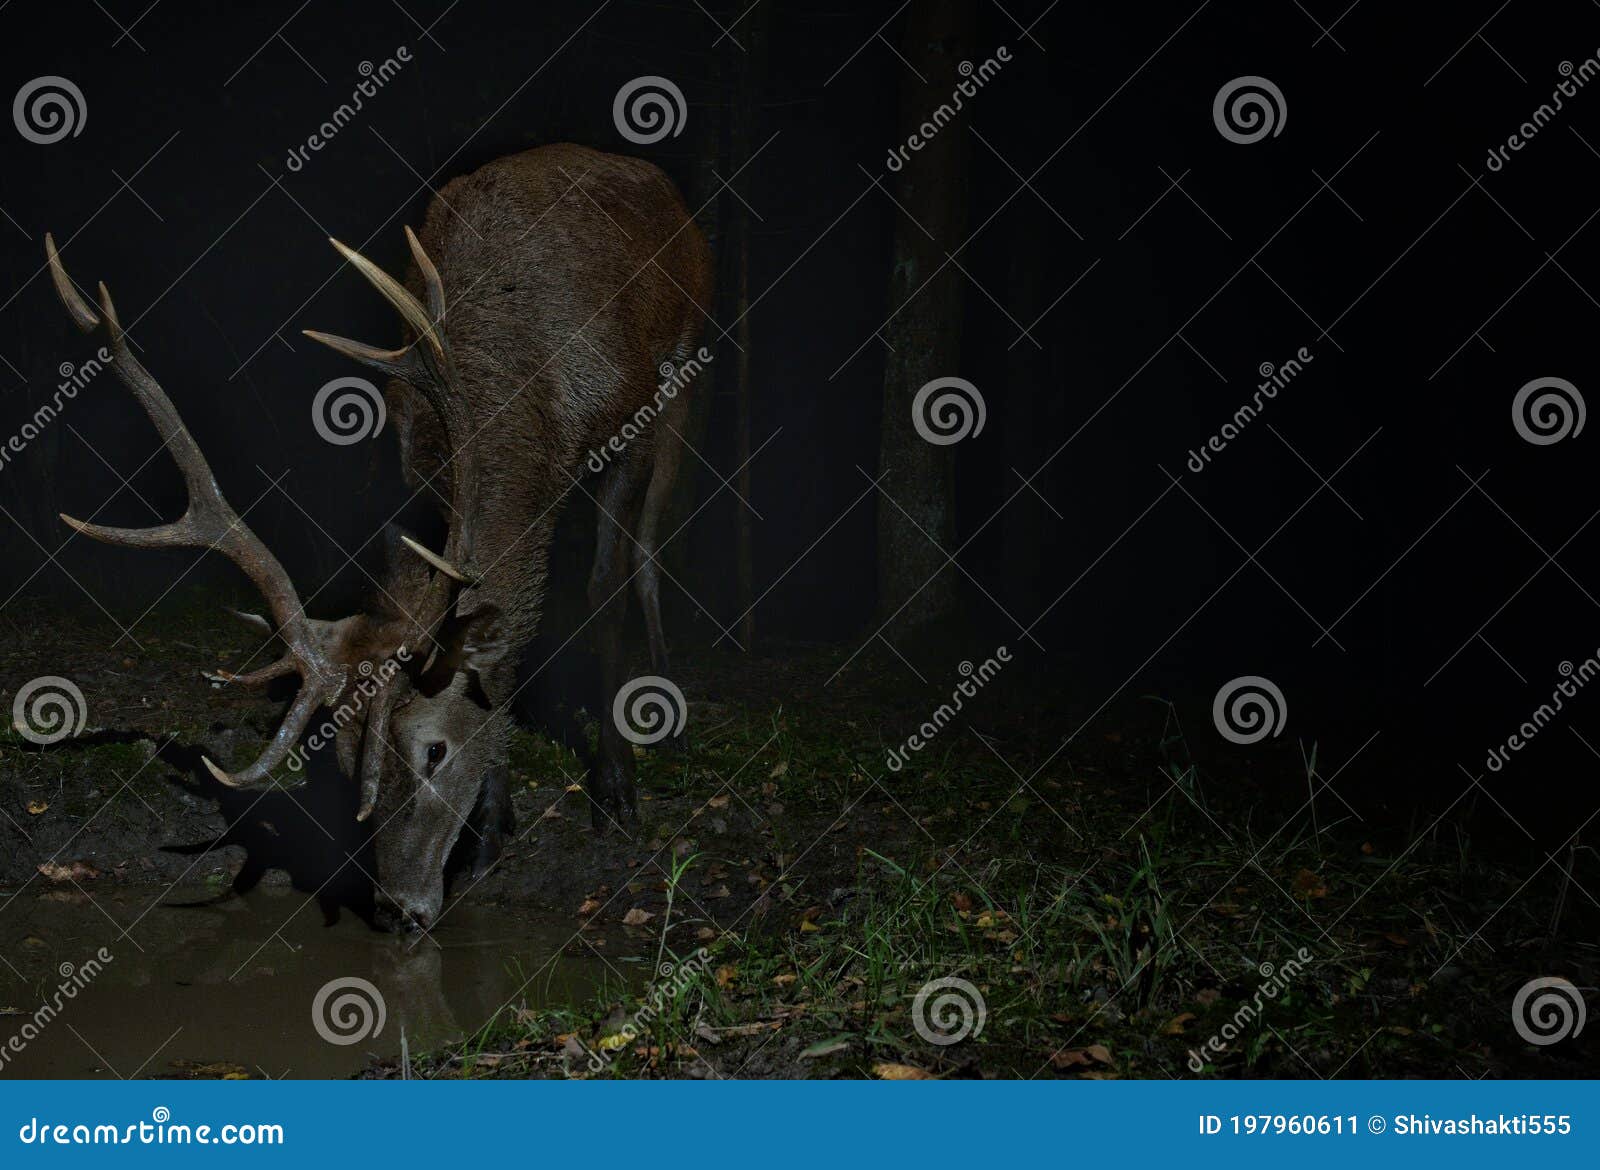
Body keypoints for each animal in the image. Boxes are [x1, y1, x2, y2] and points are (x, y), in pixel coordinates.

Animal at [44, 142, 714, 932]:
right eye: (339, 762)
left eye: (434, 751)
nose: (399, 909)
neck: (530, 416)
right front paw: (493, 832)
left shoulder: (627, 413)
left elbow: (597, 589)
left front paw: (615, 791)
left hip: (684, 373)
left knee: (647, 544)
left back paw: (667, 695)